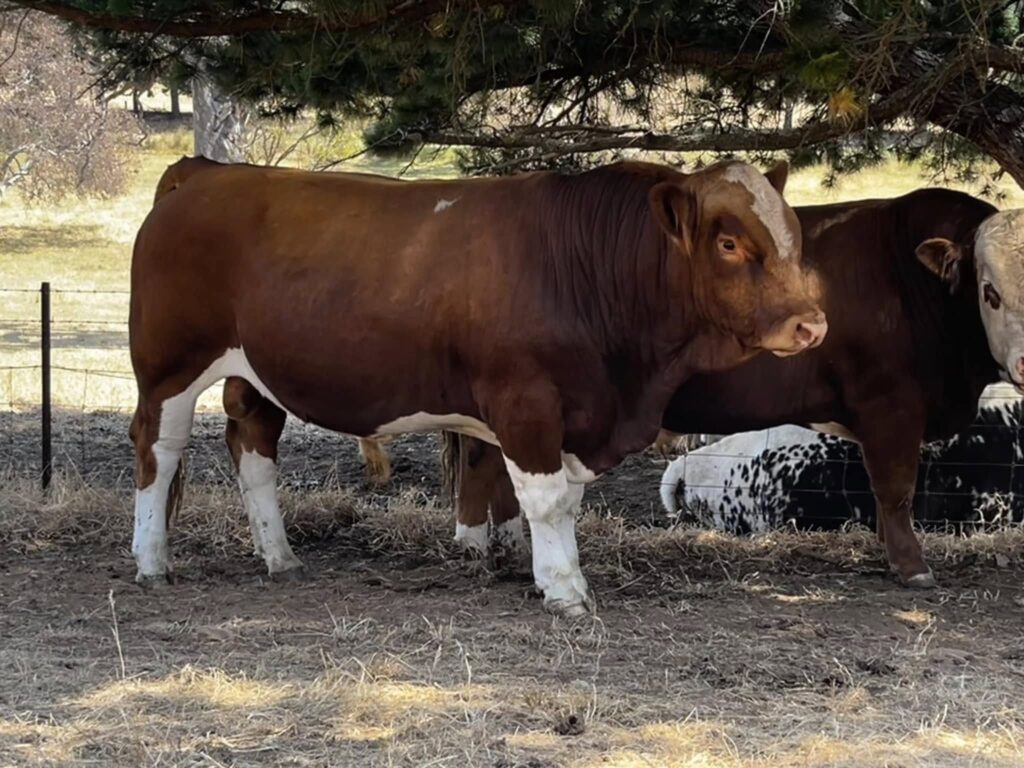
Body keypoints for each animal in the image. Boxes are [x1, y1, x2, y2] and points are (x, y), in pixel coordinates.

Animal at [128, 155, 825, 617]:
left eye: (792, 235)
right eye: (729, 242)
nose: (811, 323)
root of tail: (209, 172)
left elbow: (551, 501)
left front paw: (544, 573)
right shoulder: (527, 404)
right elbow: (547, 500)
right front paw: (566, 590)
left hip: (258, 375)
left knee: (253, 451)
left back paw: (279, 556)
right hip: (168, 368)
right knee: (157, 452)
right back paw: (152, 561)